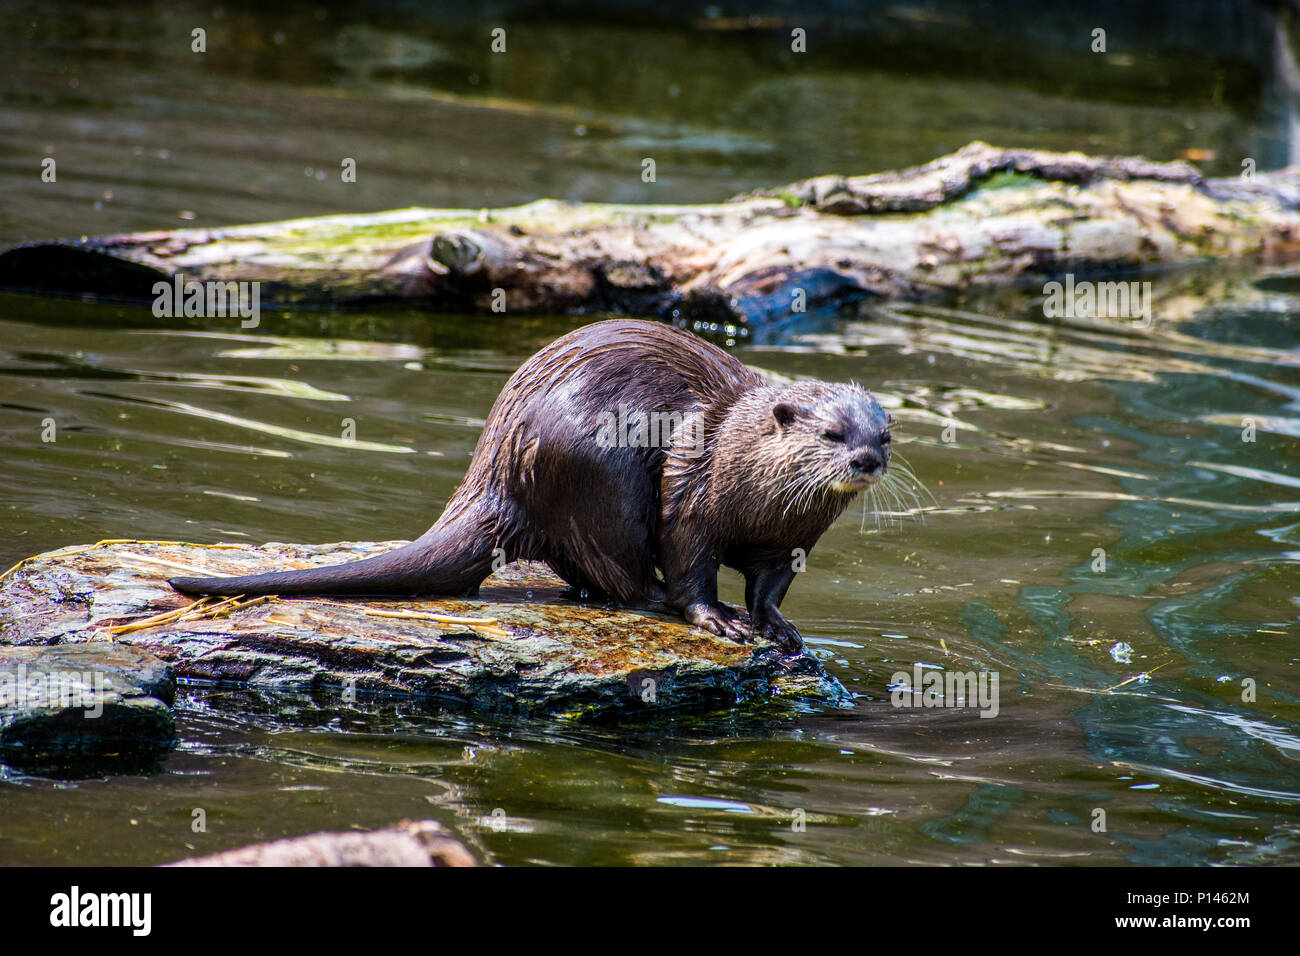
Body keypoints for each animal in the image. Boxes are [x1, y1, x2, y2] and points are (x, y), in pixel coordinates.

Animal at [169, 319, 891, 651]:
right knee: (626, 575)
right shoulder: (691, 490)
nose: (866, 459)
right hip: (599, 482)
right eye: (832, 434)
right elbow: (692, 568)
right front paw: (720, 621)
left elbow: (771, 587)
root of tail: (498, 468)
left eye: (883, 435)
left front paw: (780, 629)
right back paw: (650, 596)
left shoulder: (792, 542)